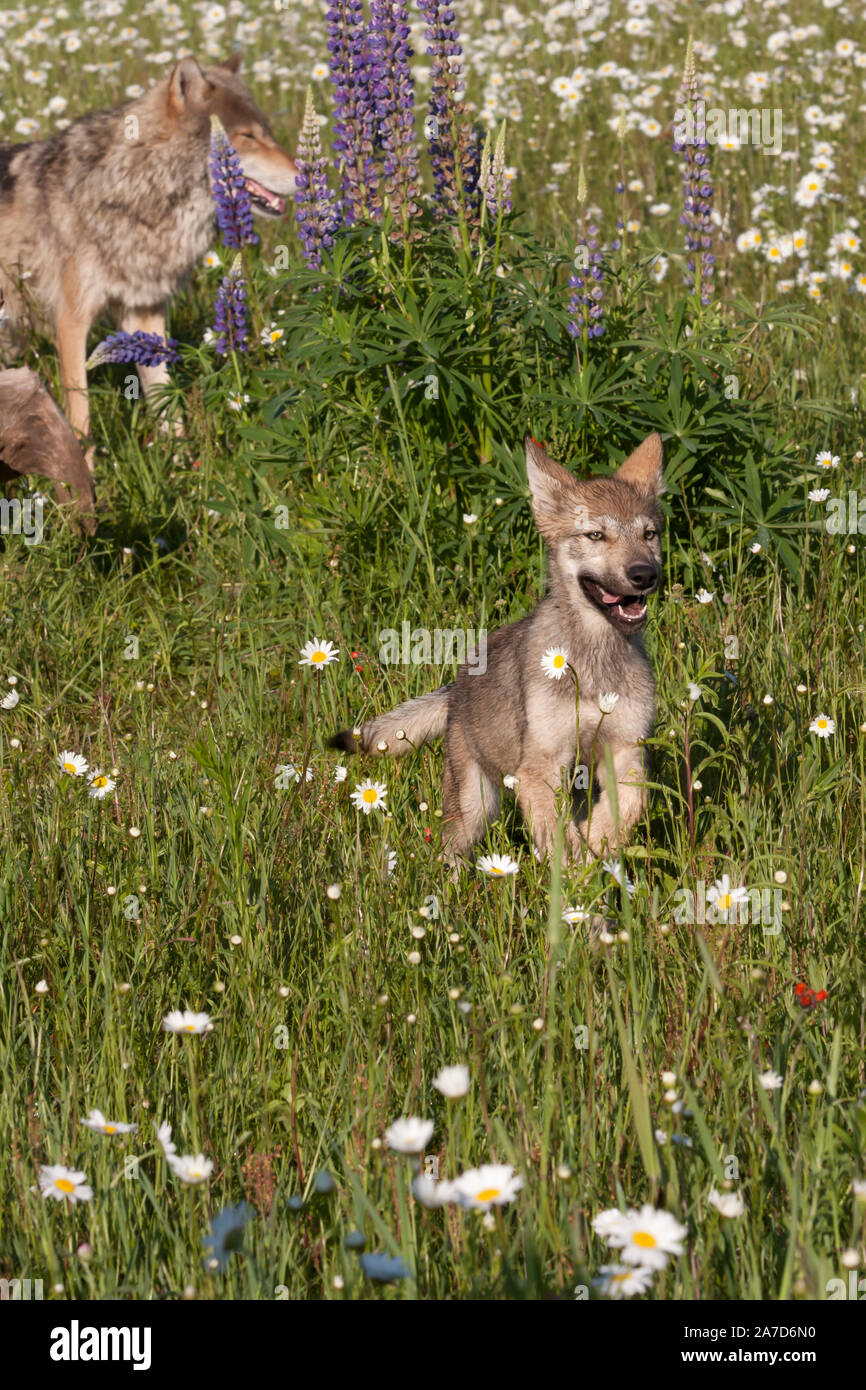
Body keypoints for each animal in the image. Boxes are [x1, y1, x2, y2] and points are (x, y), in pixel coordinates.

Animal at [0, 54, 296, 462]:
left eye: (266, 132)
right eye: (248, 136)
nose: (305, 173)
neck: (139, 187)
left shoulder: (144, 312)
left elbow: (166, 404)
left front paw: (186, 468)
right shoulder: (71, 320)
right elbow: (81, 416)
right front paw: (86, 481)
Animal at [333, 432, 665, 862]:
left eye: (648, 535)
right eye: (595, 535)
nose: (644, 574)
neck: (595, 660)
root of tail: (457, 684)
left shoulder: (626, 749)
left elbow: (630, 803)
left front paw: (597, 839)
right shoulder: (540, 767)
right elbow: (561, 843)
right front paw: (578, 866)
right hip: (475, 808)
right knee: (450, 853)